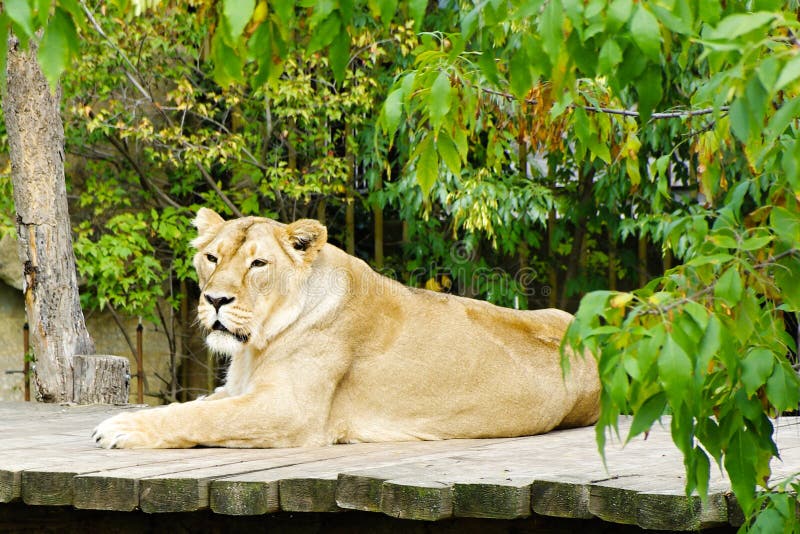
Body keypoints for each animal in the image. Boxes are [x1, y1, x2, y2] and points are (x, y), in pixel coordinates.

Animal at [92, 208, 600, 448]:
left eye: (258, 264)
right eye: (212, 258)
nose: (215, 300)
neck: (255, 345)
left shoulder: (291, 410)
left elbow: (199, 417)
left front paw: (120, 427)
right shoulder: (238, 391)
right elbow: (196, 405)